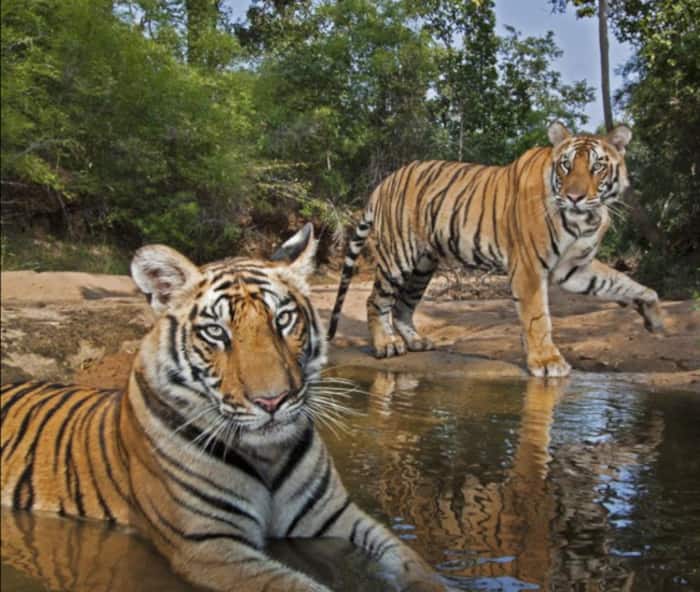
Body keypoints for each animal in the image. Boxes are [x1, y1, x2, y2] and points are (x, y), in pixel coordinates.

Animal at [1, 223, 449, 592]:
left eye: (283, 320)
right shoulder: (210, 546)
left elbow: (411, 560)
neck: (268, 455)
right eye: (216, 332)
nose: (272, 400)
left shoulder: (332, 515)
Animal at [327, 122, 664, 377]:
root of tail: (385, 181)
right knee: (376, 300)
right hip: (399, 256)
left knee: (403, 305)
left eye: (597, 167)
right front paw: (547, 362)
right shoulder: (529, 268)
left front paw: (654, 317)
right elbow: (537, 318)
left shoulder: (574, 268)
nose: (575, 197)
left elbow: (623, 282)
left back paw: (416, 342)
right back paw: (386, 345)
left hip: (423, 265)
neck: (584, 219)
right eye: (566, 165)